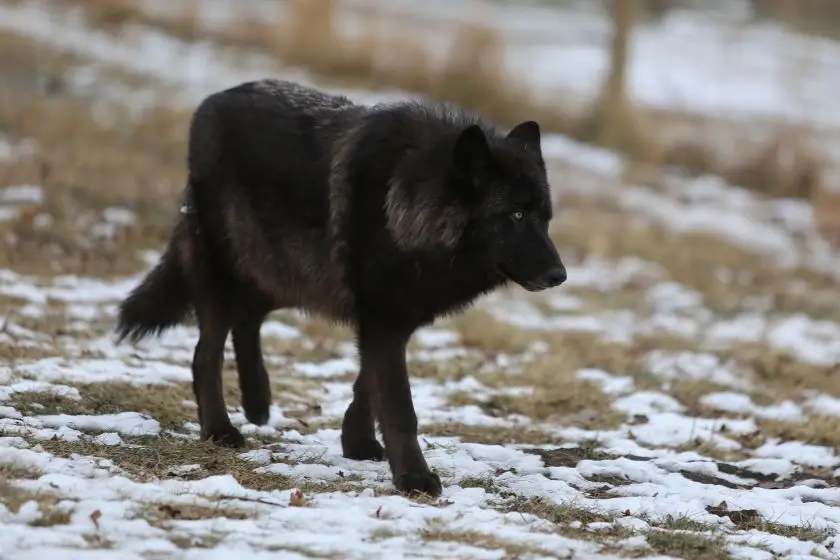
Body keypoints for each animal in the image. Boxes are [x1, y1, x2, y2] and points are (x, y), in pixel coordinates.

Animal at [116, 79, 567, 497]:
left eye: (545, 218)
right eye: (516, 214)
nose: (559, 275)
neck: (404, 206)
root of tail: (211, 101)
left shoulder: (389, 316)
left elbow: (368, 384)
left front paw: (357, 442)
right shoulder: (383, 317)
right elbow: (399, 406)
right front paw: (414, 478)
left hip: (286, 271)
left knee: (248, 321)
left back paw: (257, 402)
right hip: (235, 272)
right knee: (205, 354)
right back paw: (220, 429)